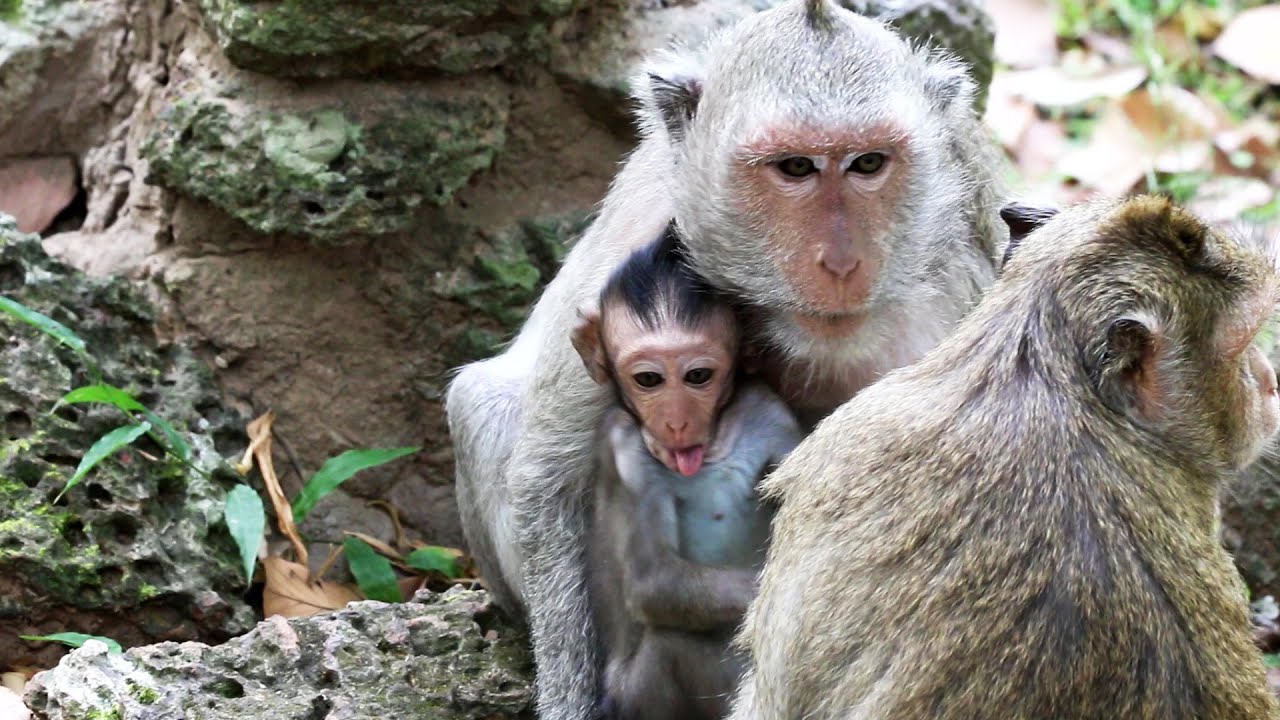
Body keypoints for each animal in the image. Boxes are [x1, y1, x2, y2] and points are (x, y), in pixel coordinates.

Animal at [572, 227, 802, 720]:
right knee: (669, 640)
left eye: (698, 376)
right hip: (634, 698)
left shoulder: (768, 411)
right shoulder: (624, 446)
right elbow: (654, 581)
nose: (676, 422)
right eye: (648, 380)